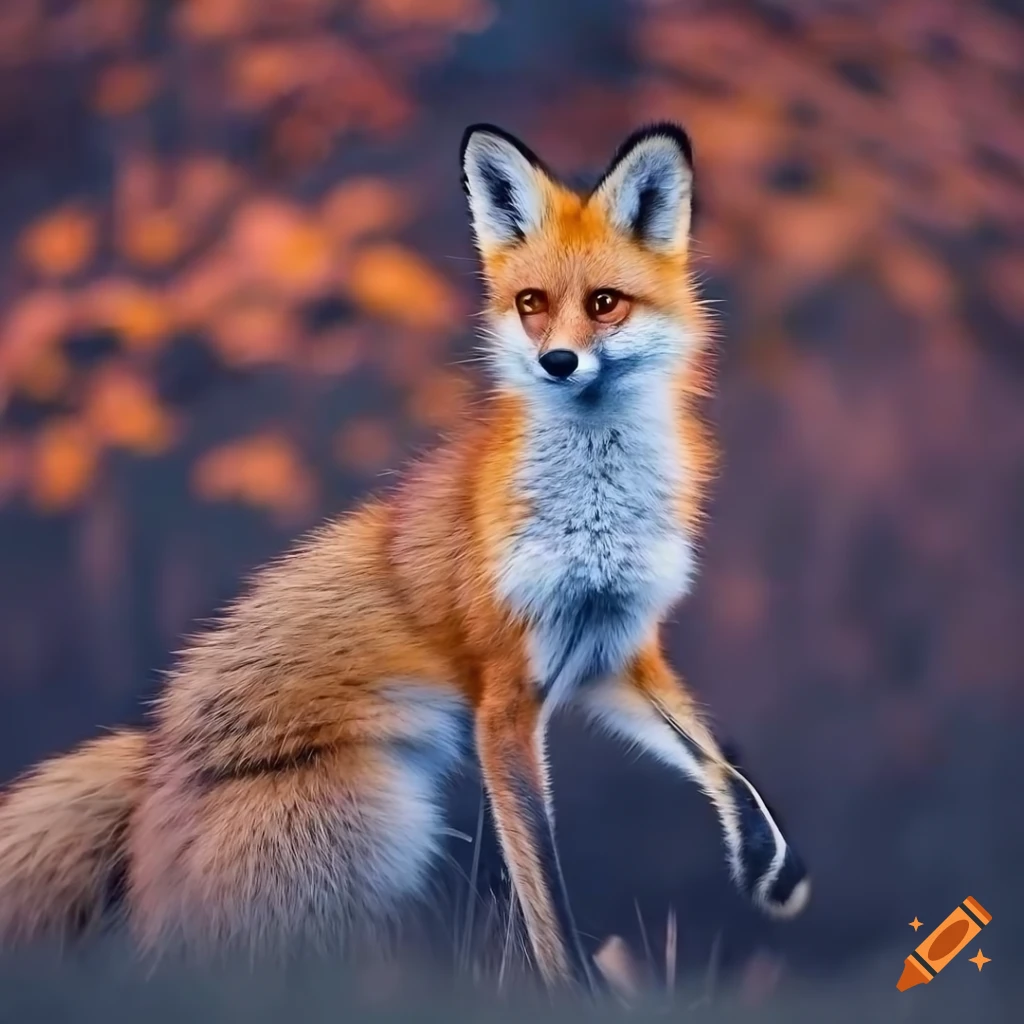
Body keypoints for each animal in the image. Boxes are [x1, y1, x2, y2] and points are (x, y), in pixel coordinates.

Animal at [0, 123, 809, 991]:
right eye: (531, 305)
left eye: (604, 303)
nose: (558, 363)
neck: (594, 514)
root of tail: (152, 769)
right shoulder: (505, 698)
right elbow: (546, 898)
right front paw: (579, 994)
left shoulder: (611, 648)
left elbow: (719, 761)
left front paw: (768, 862)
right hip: (380, 815)